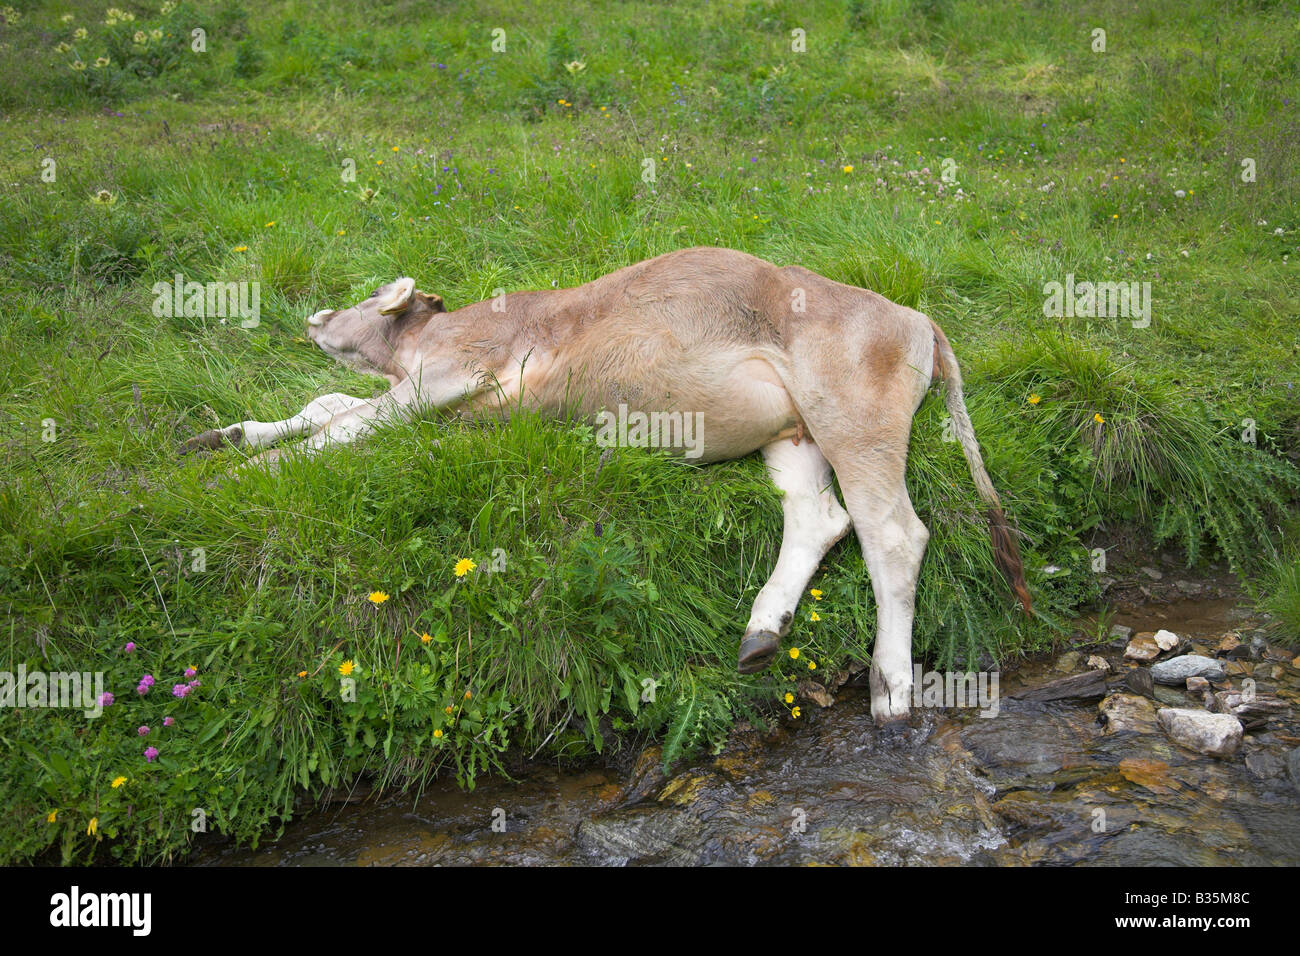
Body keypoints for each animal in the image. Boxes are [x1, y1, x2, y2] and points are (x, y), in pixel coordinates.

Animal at [184, 247, 1032, 721]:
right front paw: (228, 438)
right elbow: (330, 407)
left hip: (852, 415)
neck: (420, 348)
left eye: (368, 298)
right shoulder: (449, 408)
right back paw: (762, 632)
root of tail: (916, 317)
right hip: (791, 432)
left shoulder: (450, 377)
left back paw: (891, 691)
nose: (315, 316)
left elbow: (341, 426)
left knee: (894, 533)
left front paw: (252, 471)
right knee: (821, 518)